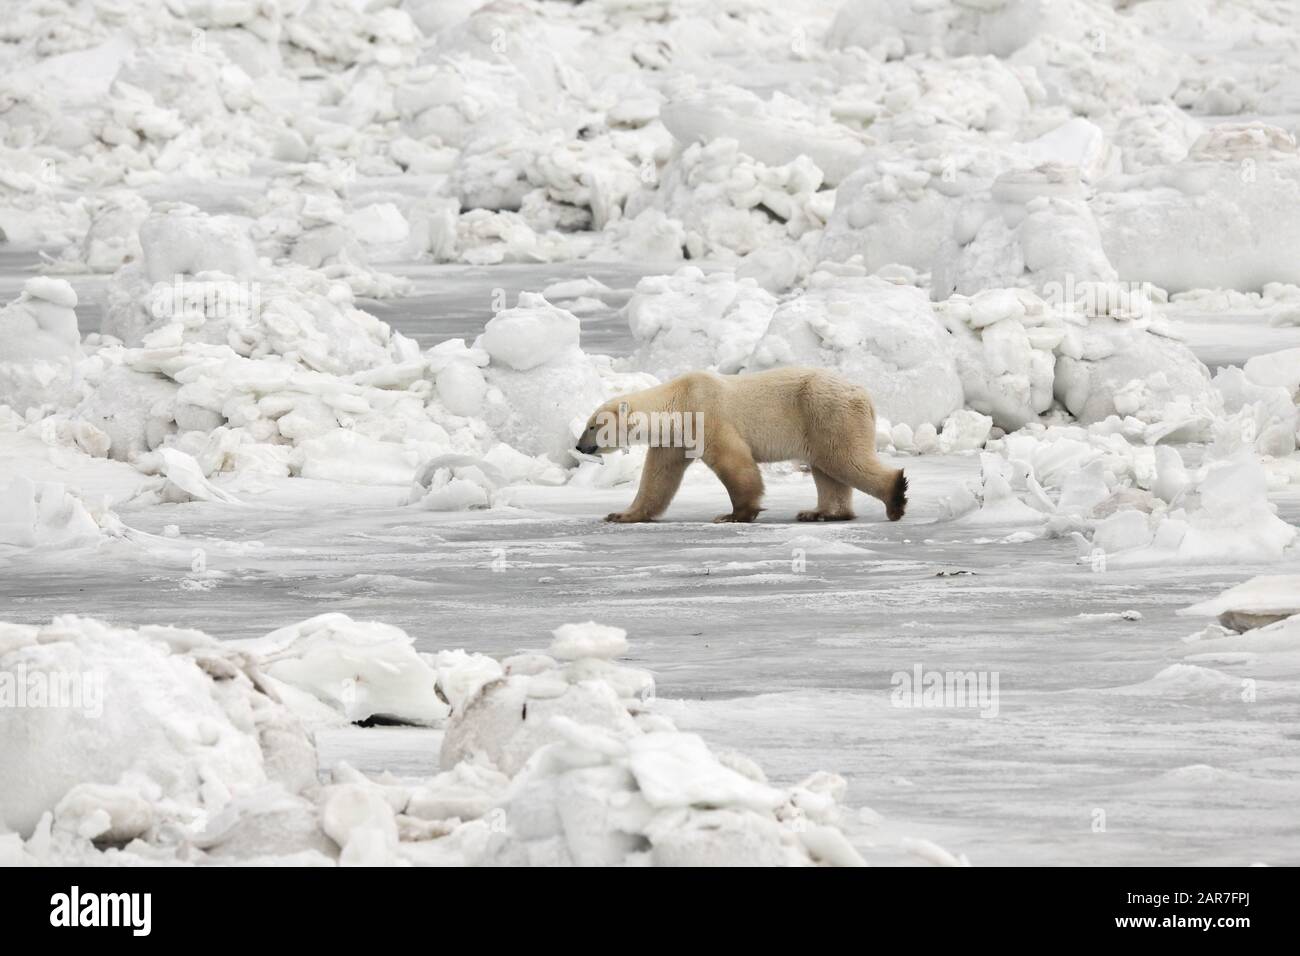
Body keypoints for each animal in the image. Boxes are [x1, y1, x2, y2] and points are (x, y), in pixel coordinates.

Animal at [575, 366, 907, 524]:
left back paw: (895, 497)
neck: (679, 402)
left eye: (592, 426)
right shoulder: (675, 439)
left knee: (845, 459)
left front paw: (733, 514)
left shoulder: (707, 416)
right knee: (828, 471)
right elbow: (658, 478)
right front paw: (621, 515)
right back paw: (818, 512)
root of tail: (864, 395)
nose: (579, 447)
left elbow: (734, 463)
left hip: (826, 413)